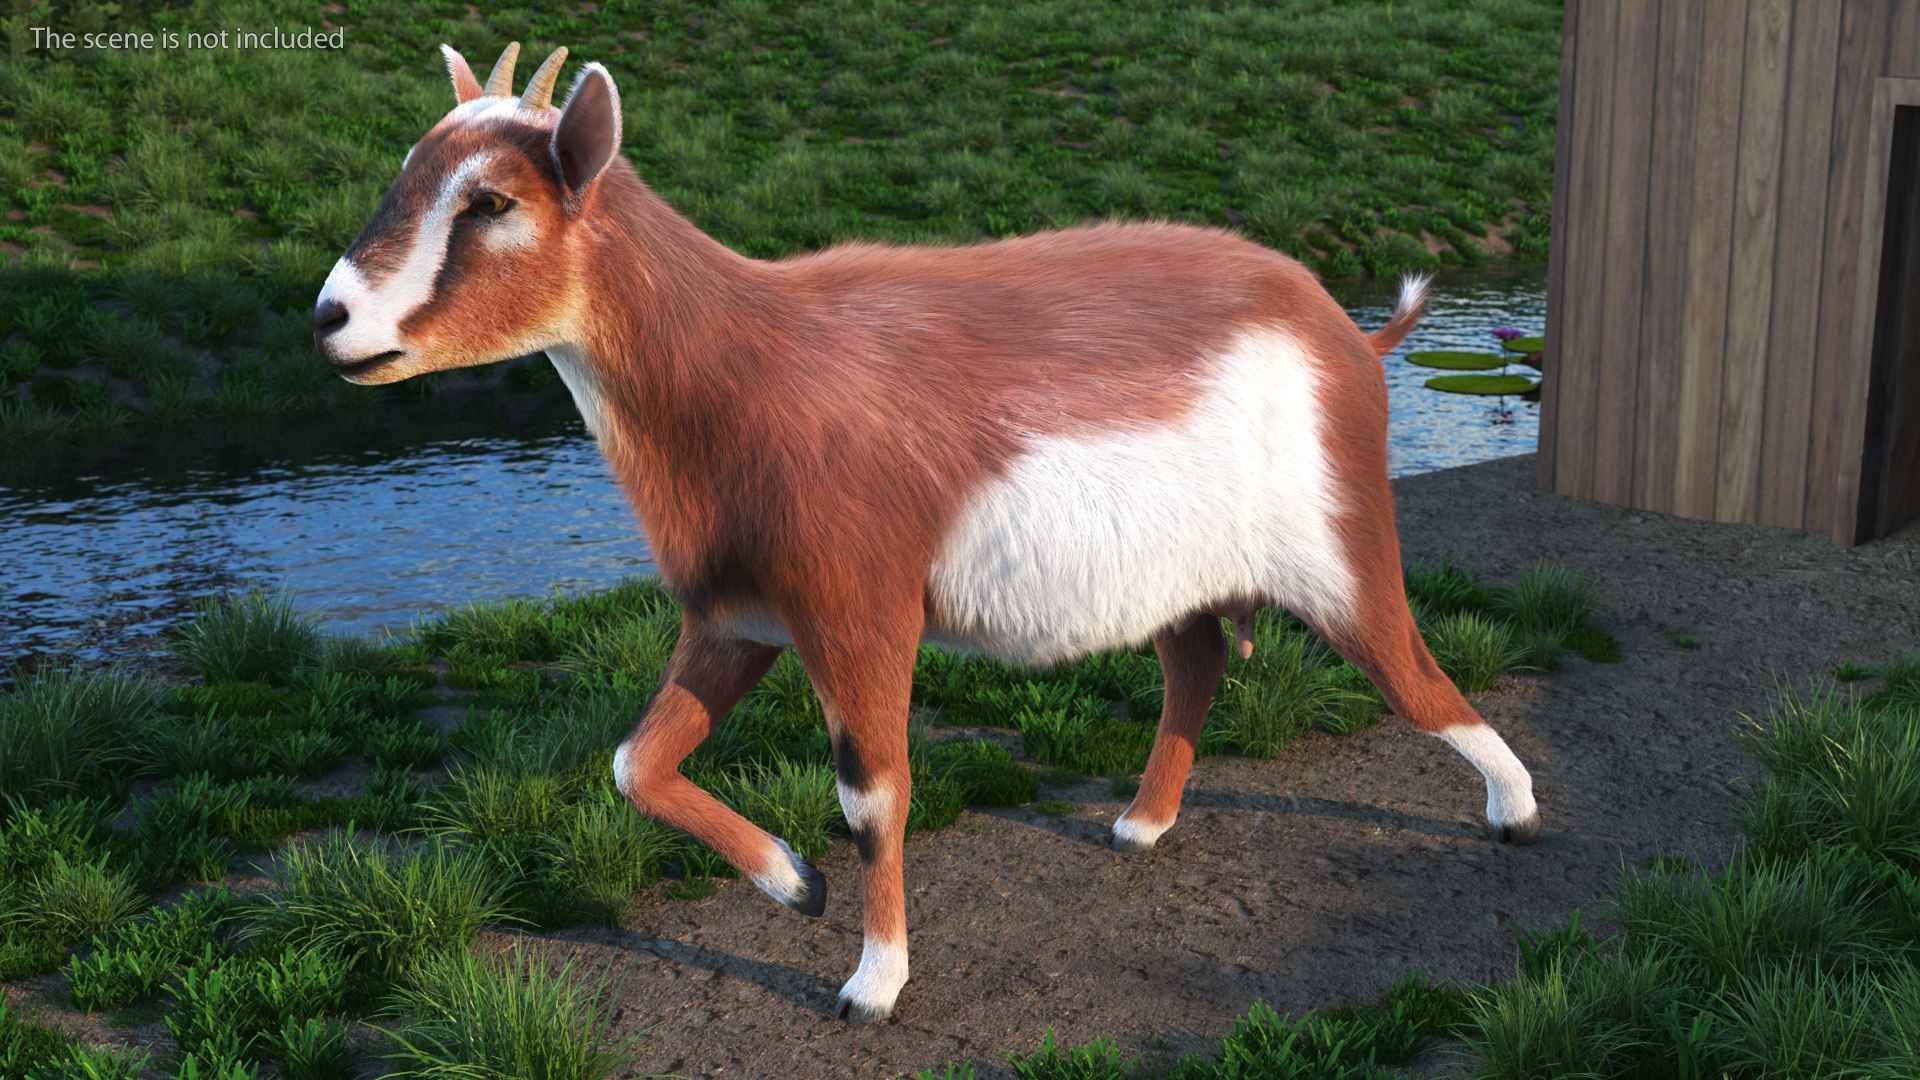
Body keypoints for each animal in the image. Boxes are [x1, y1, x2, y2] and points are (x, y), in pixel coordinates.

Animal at [314, 43, 1540, 1024]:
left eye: (492, 202)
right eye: (410, 166)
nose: (331, 318)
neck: (751, 365)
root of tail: (1352, 333)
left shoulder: (860, 615)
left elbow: (873, 795)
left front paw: (874, 985)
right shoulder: (737, 619)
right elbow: (633, 764)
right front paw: (793, 884)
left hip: (1338, 553)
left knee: (1412, 669)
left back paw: (1516, 811)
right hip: (1180, 579)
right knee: (1196, 662)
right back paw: (1142, 826)